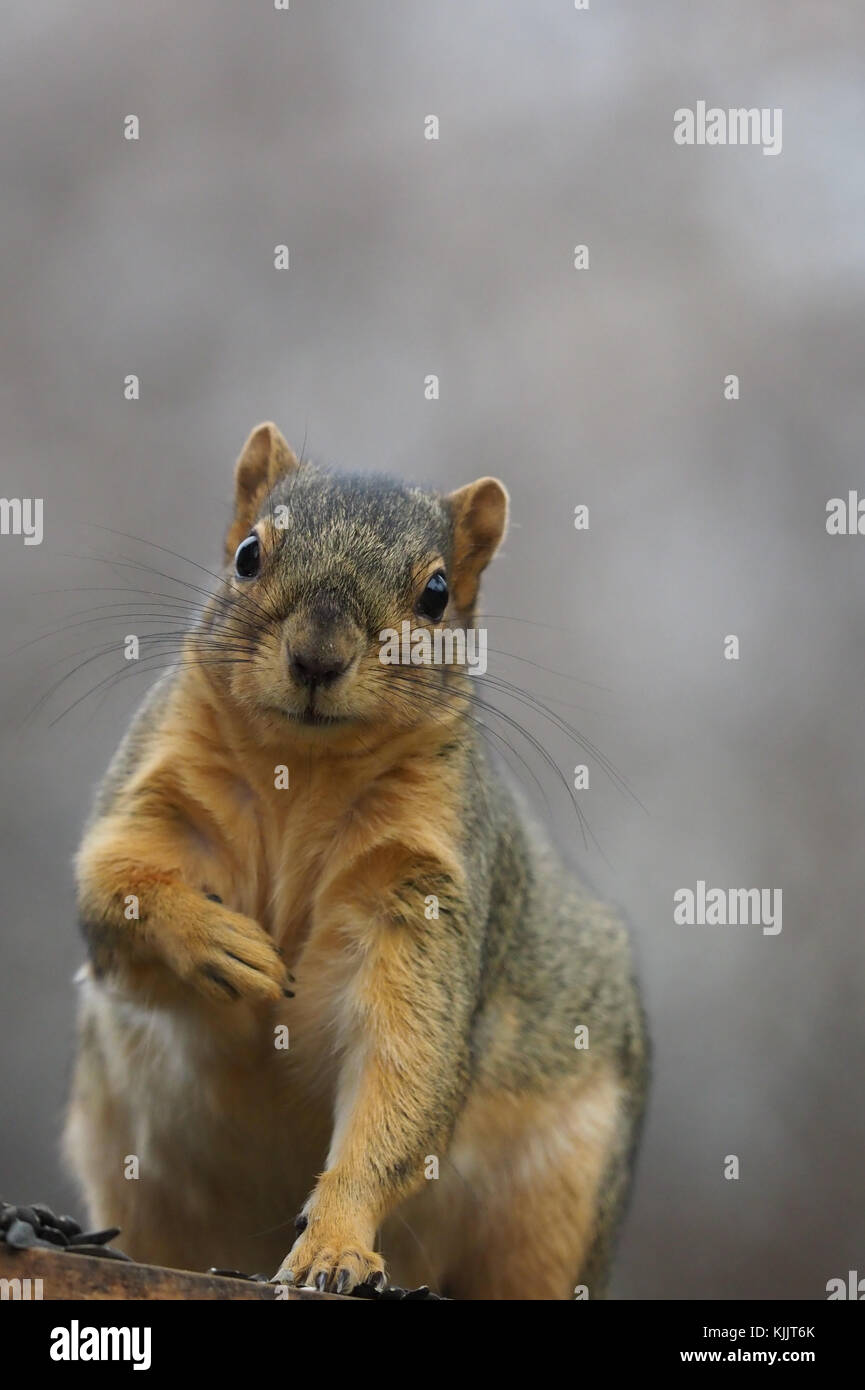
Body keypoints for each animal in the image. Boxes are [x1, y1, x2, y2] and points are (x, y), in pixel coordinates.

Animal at [63, 422, 648, 1299]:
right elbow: (109, 887)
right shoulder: (156, 791)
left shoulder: (421, 893)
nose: (316, 656)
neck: (301, 772)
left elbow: (403, 1071)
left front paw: (334, 1246)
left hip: (561, 1202)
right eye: (247, 554)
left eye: (435, 594)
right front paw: (217, 941)